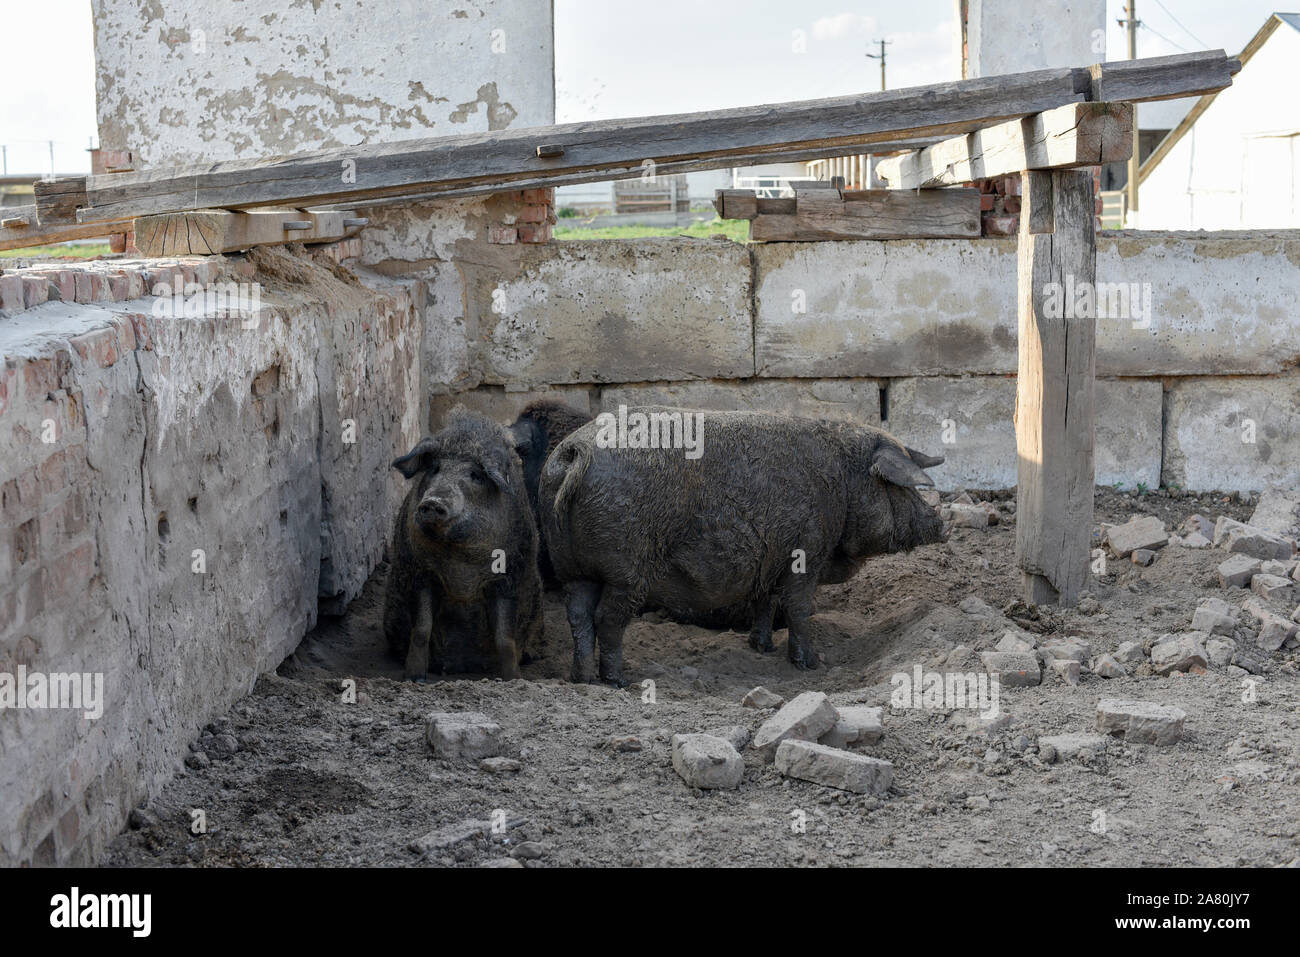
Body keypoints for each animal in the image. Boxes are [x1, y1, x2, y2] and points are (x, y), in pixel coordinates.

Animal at [382, 406, 543, 680]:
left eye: (475, 475)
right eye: (435, 468)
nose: (433, 502)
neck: (460, 563)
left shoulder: (508, 578)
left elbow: (505, 638)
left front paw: (513, 679)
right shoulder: (418, 572)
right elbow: (422, 629)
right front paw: (415, 678)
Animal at [539, 407, 944, 684]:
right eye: (899, 486)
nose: (942, 525)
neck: (843, 484)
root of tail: (574, 450)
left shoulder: (772, 558)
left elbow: (766, 602)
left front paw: (761, 648)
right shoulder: (806, 552)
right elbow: (798, 608)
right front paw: (811, 665)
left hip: (571, 567)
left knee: (577, 615)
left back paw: (582, 678)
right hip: (626, 570)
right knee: (607, 618)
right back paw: (618, 681)